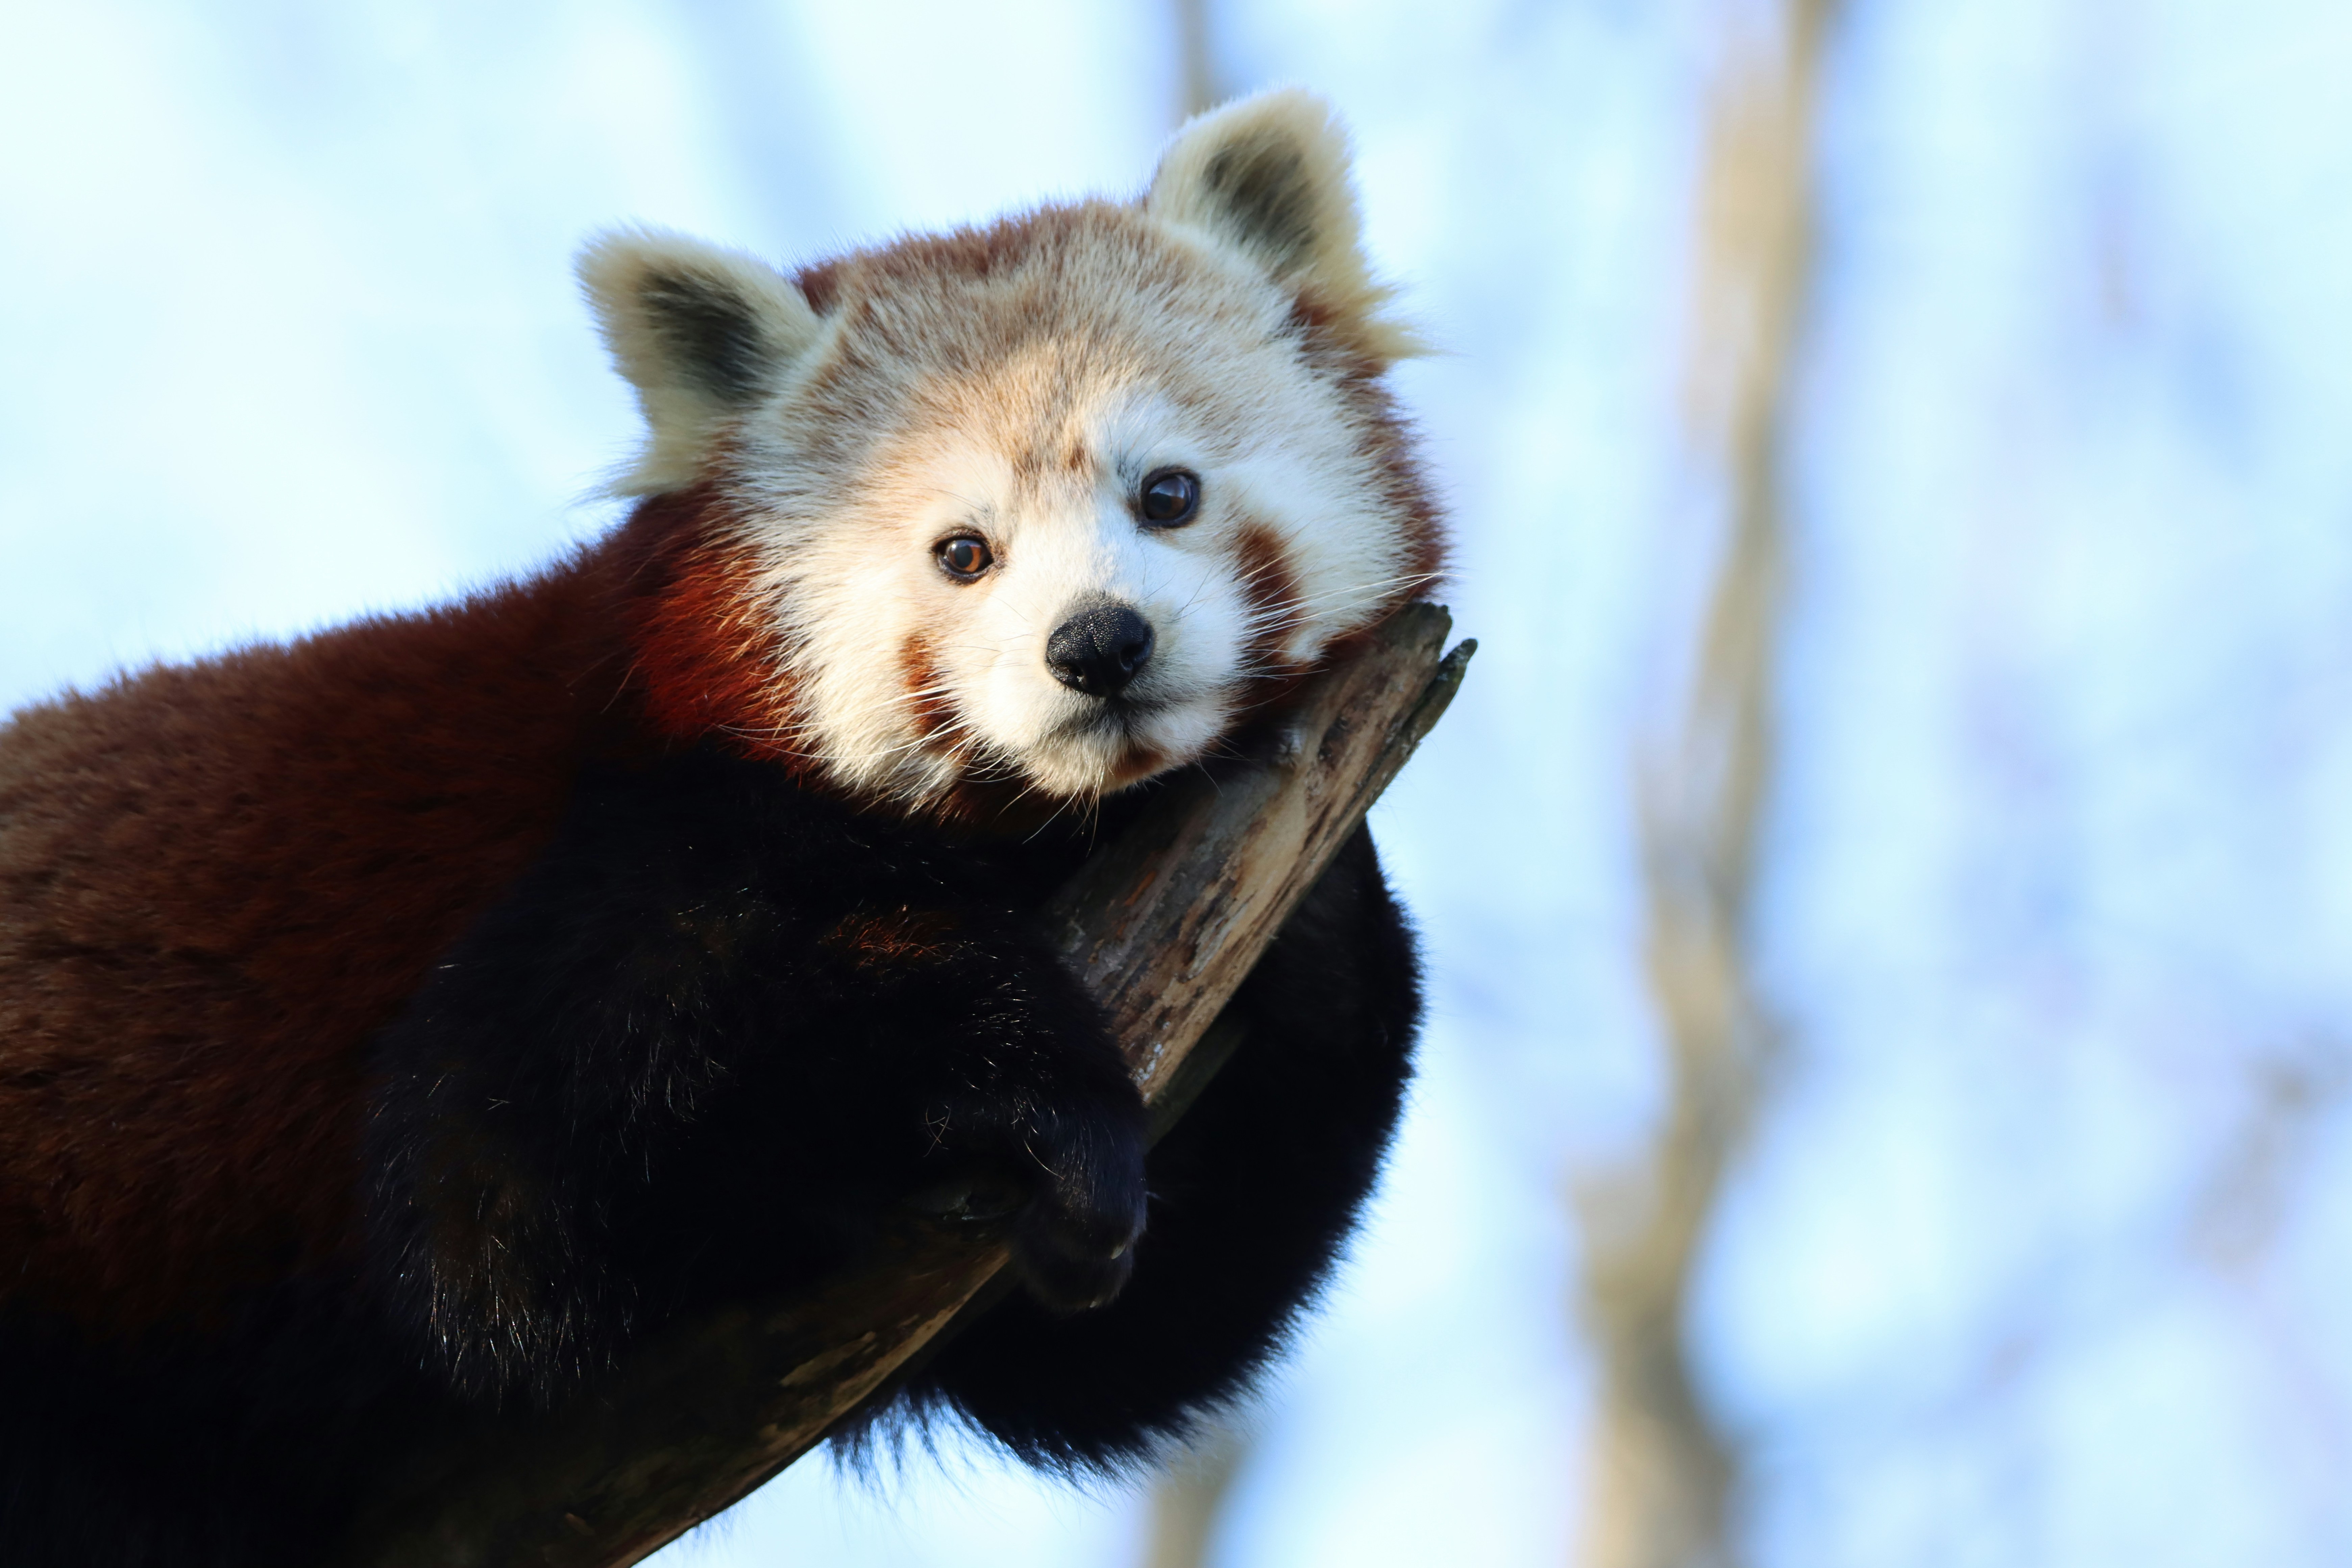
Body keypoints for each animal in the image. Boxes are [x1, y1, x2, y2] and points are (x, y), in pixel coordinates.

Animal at [0, 89, 1442, 1566]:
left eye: (1169, 493)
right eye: (963, 552)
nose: (1097, 644)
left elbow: (1115, 1350)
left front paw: (1329, 926)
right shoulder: (618, 861)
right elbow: (500, 1206)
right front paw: (1034, 1076)